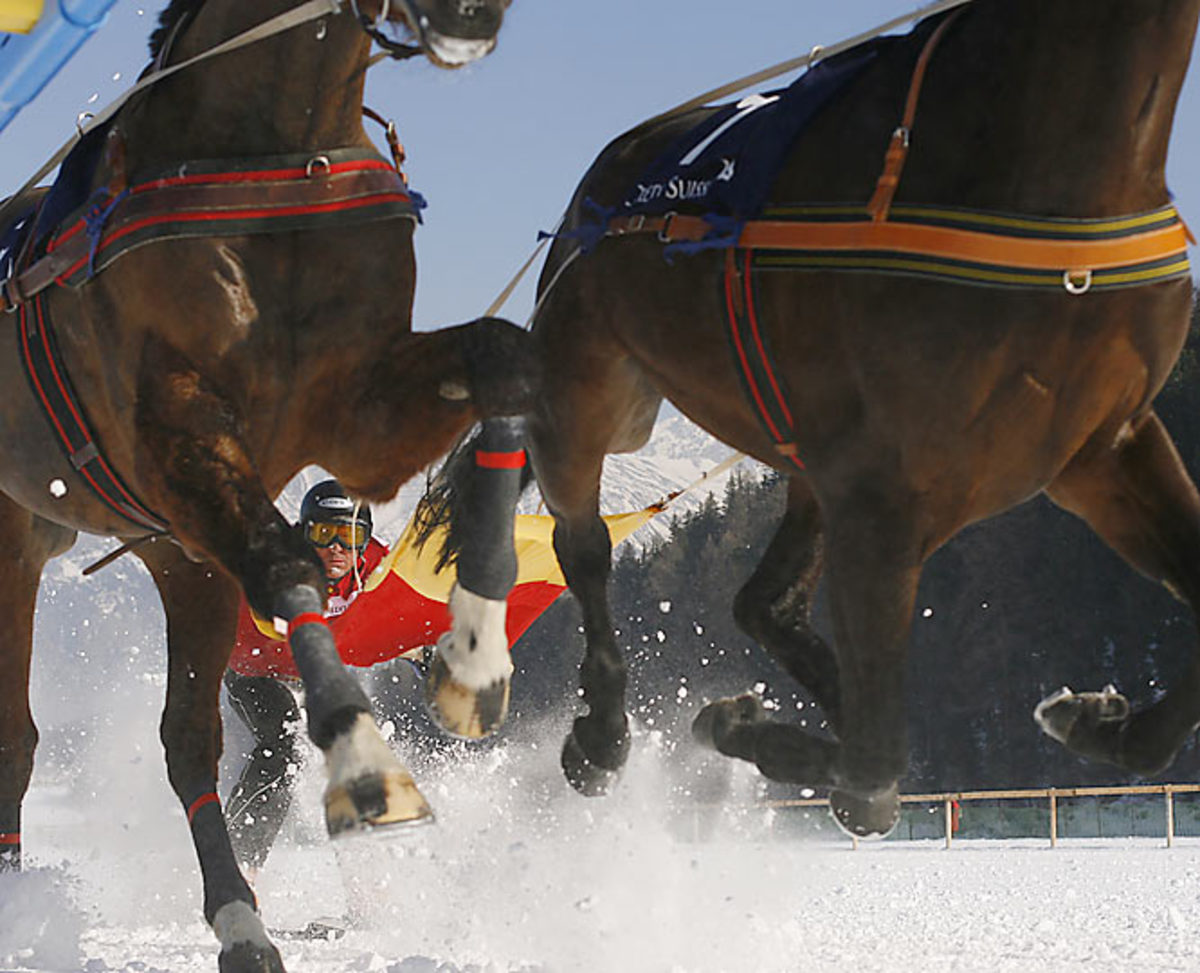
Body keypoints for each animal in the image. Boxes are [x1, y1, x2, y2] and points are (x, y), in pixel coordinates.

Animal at [0, 0, 530, 969]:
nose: (473, 15)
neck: (280, 158)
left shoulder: (359, 409)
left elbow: (504, 358)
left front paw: (474, 659)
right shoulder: (179, 429)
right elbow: (287, 569)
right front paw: (365, 766)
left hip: (180, 558)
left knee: (187, 738)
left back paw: (240, 917)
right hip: (16, 536)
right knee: (15, 740)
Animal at [421, 0, 1200, 840]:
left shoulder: (1103, 447)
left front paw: (1098, 720)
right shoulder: (880, 489)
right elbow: (872, 771)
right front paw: (733, 724)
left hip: (807, 463)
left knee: (763, 604)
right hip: (587, 385)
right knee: (586, 544)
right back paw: (602, 737)